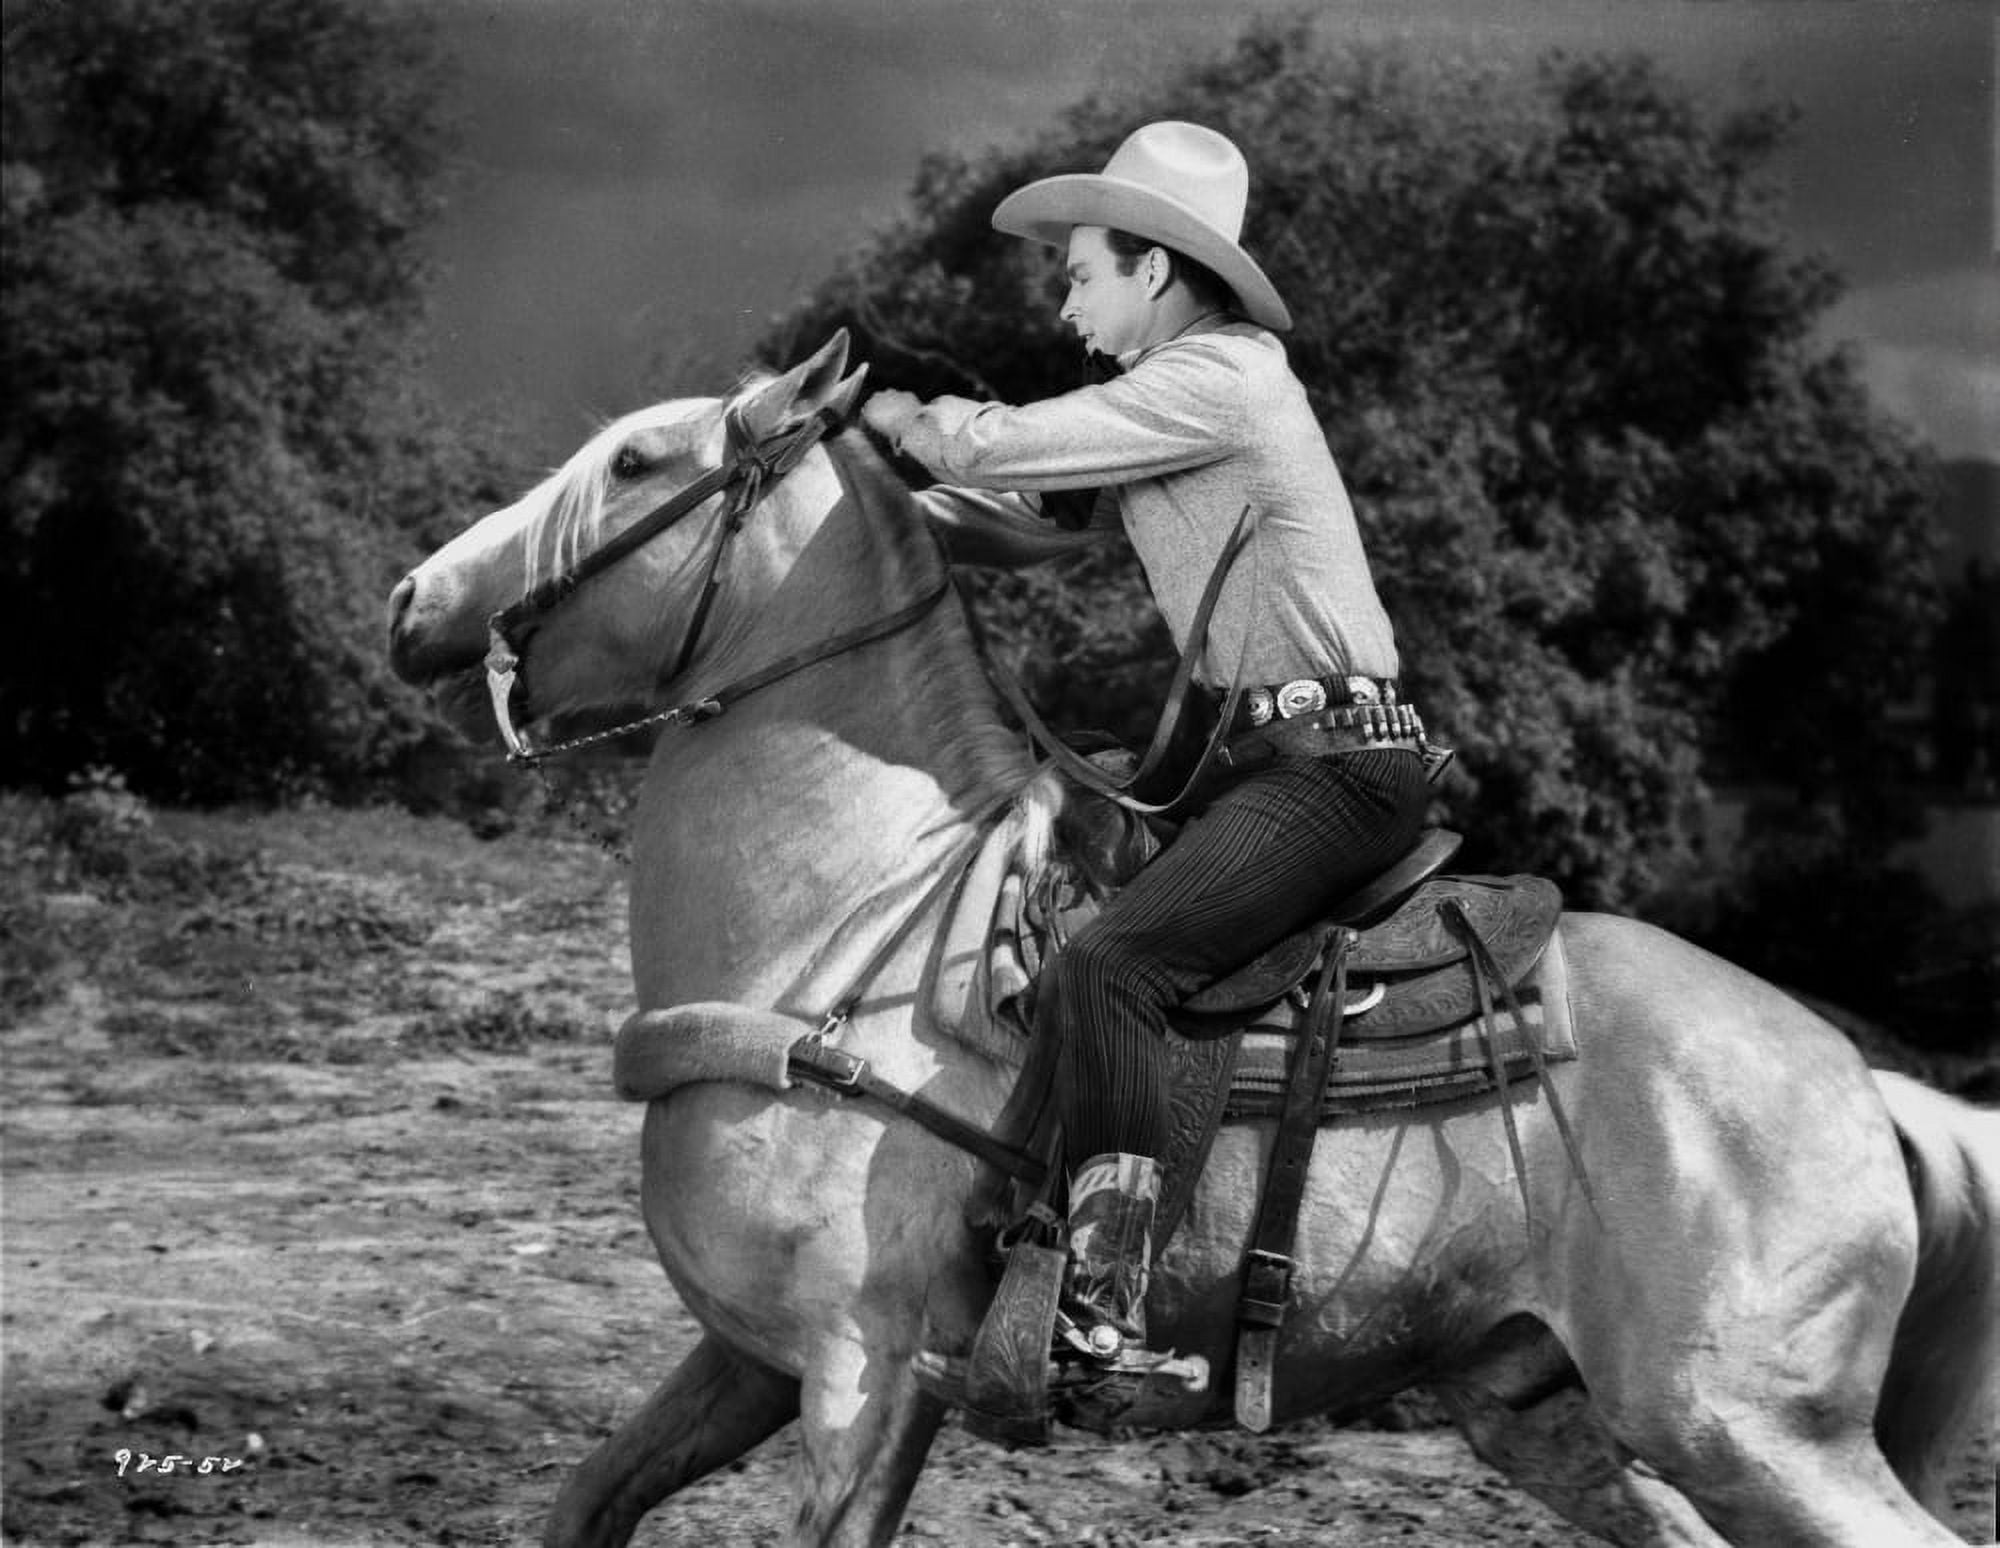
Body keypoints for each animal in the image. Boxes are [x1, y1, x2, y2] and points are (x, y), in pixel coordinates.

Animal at [386, 332, 1999, 1547]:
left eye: (638, 464)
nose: (413, 601)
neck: (847, 934)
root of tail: (1869, 1087)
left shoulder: (861, 1373)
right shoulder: (743, 1359)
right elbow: (588, 1499)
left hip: (1747, 1428)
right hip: (1557, 1417)